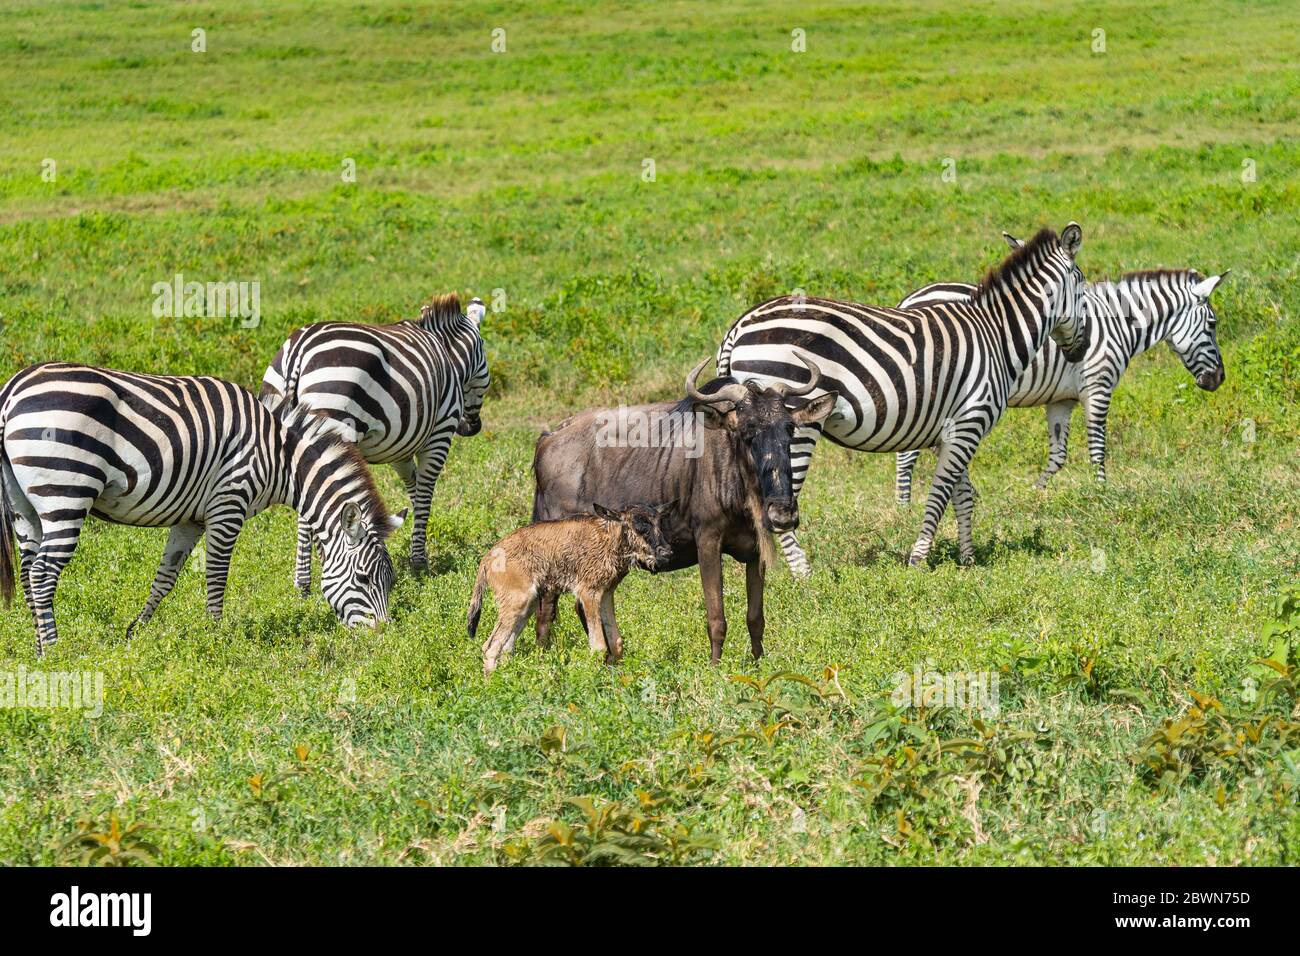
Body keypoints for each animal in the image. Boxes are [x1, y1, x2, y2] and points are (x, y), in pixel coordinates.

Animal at [0, 363, 403, 656]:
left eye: (391, 581)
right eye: (364, 579)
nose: (382, 639)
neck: (280, 458)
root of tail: (13, 390)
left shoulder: (191, 519)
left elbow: (165, 577)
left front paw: (136, 631)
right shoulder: (228, 504)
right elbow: (216, 575)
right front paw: (216, 635)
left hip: (24, 506)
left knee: (28, 571)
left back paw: (37, 646)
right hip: (66, 490)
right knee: (43, 573)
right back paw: (54, 651)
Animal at [259, 292, 489, 581]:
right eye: (485, 354)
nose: (471, 428)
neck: (448, 356)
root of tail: (298, 350)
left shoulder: (401, 447)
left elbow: (414, 489)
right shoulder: (440, 432)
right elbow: (425, 493)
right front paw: (419, 562)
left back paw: (304, 580)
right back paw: (310, 577)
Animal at [715, 223, 1089, 573]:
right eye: (1083, 290)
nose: (1081, 350)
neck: (996, 335)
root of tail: (739, 325)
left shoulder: (951, 430)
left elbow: (963, 495)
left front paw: (966, 559)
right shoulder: (970, 422)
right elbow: (940, 494)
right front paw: (919, 559)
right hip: (792, 421)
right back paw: (803, 574)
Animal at [894, 232, 1227, 503]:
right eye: (1212, 324)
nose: (1219, 379)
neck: (1118, 325)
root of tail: (909, 299)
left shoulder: (1061, 400)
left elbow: (1058, 456)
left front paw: (1035, 493)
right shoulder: (1098, 385)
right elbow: (1098, 446)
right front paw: (1102, 493)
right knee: (908, 452)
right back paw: (904, 508)